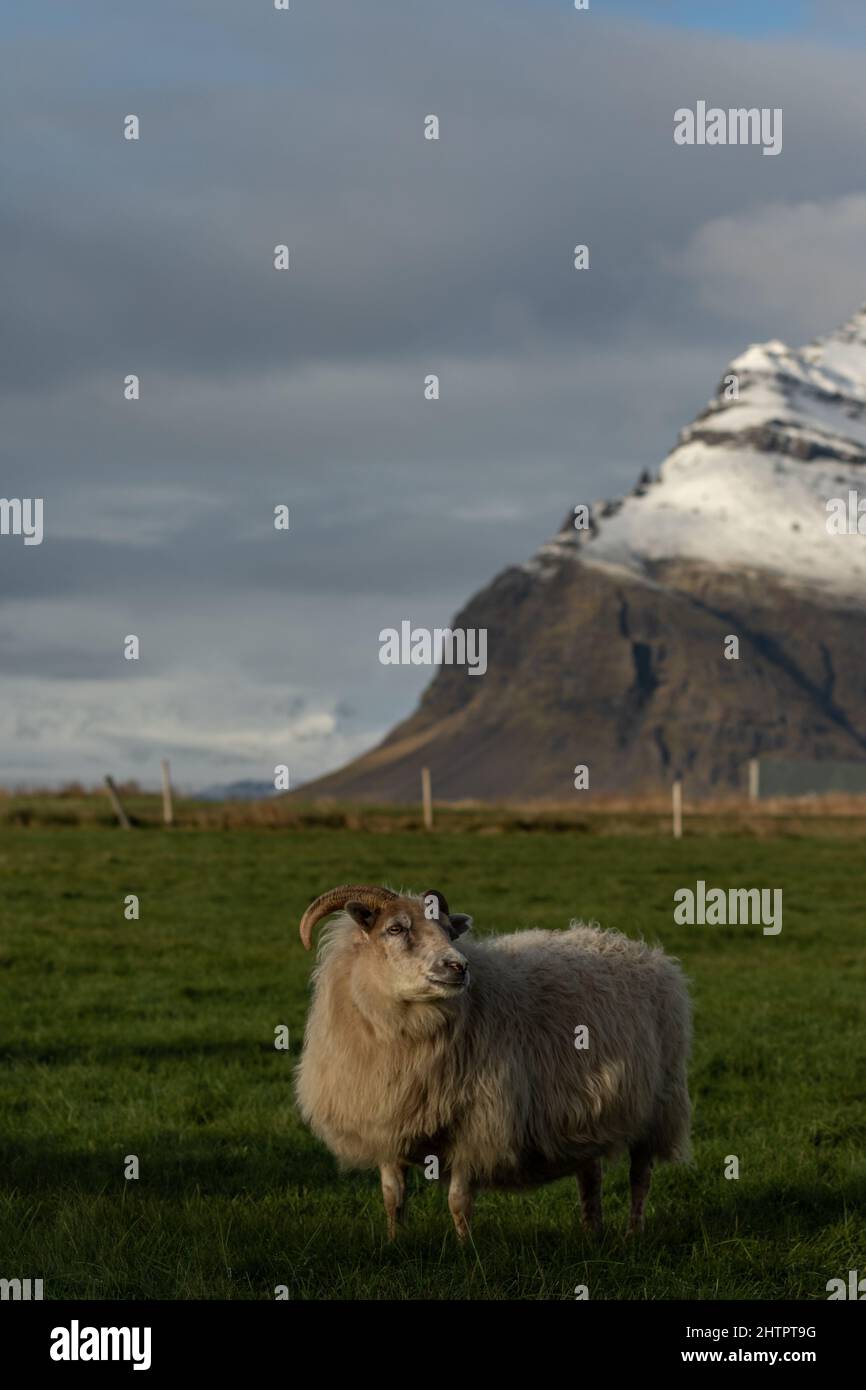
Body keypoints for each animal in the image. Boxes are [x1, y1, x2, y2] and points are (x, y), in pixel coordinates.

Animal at [295, 884, 691, 1240]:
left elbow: (458, 1201)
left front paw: (465, 1251)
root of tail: (636, 948)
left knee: (640, 1176)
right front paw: (394, 1244)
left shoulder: (475, 1126)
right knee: (590, 1174)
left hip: (658, 1106)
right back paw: (592, 1233)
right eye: (396, 928)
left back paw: (632, 1234)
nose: (458, 967)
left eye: (448, 930)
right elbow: (394, 1197)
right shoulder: (386, 1126)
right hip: (589, 1112)